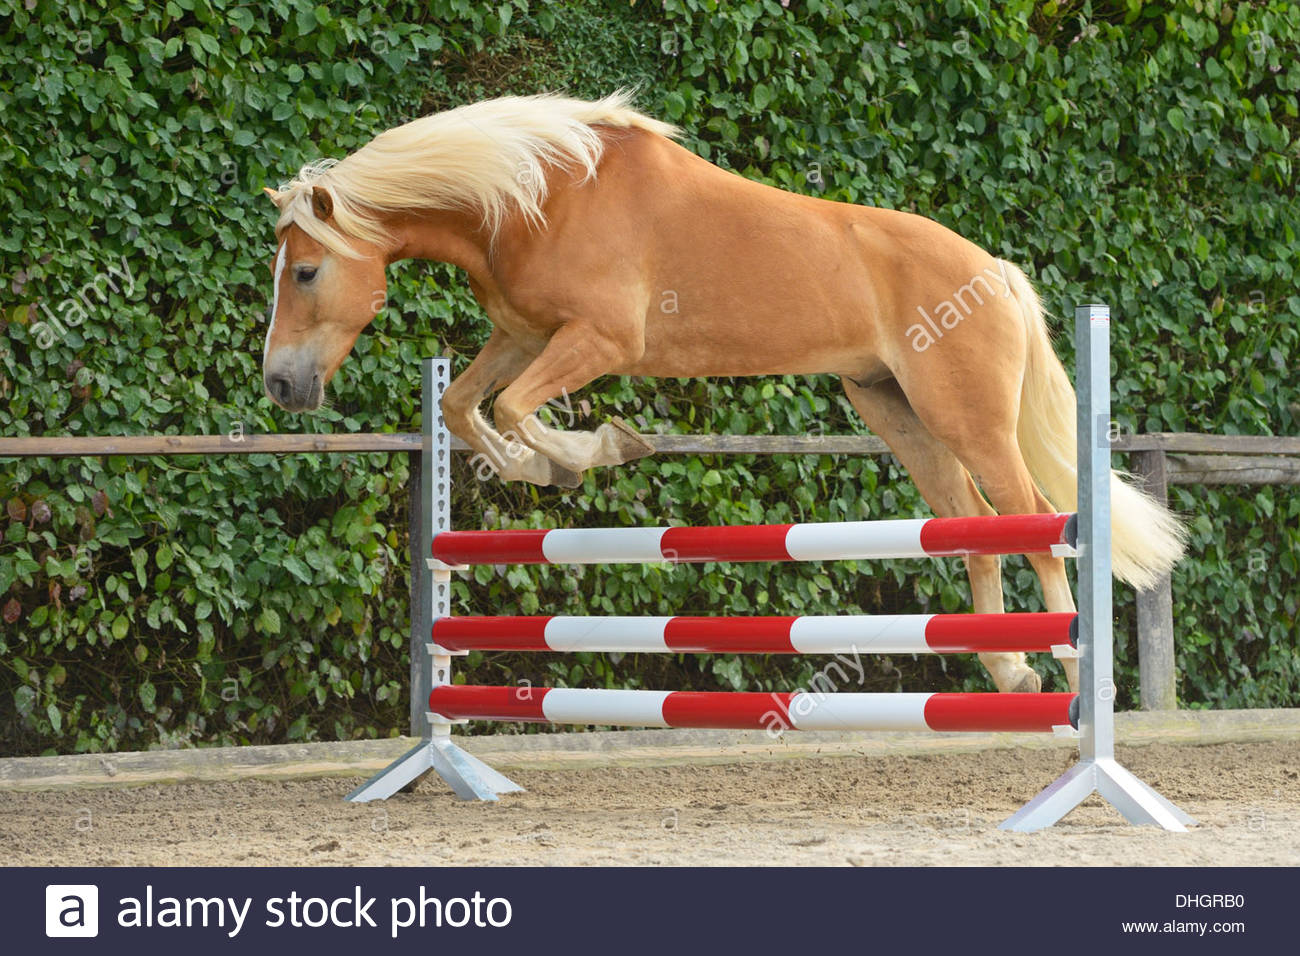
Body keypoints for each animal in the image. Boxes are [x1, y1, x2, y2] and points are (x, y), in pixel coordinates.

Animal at [261, 92, 1184, 695]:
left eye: (305, 272)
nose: (281, 383)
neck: (534, 195)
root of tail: (993, 270)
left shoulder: (597, 343)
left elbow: (517, 411)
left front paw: (597, 450)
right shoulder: (523, 336)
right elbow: (465, 409)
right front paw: (551, 467)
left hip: (969, 417)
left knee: (1035, 519)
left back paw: (1066, 668)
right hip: (896, 410)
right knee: (974, 524)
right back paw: (1006, 666)